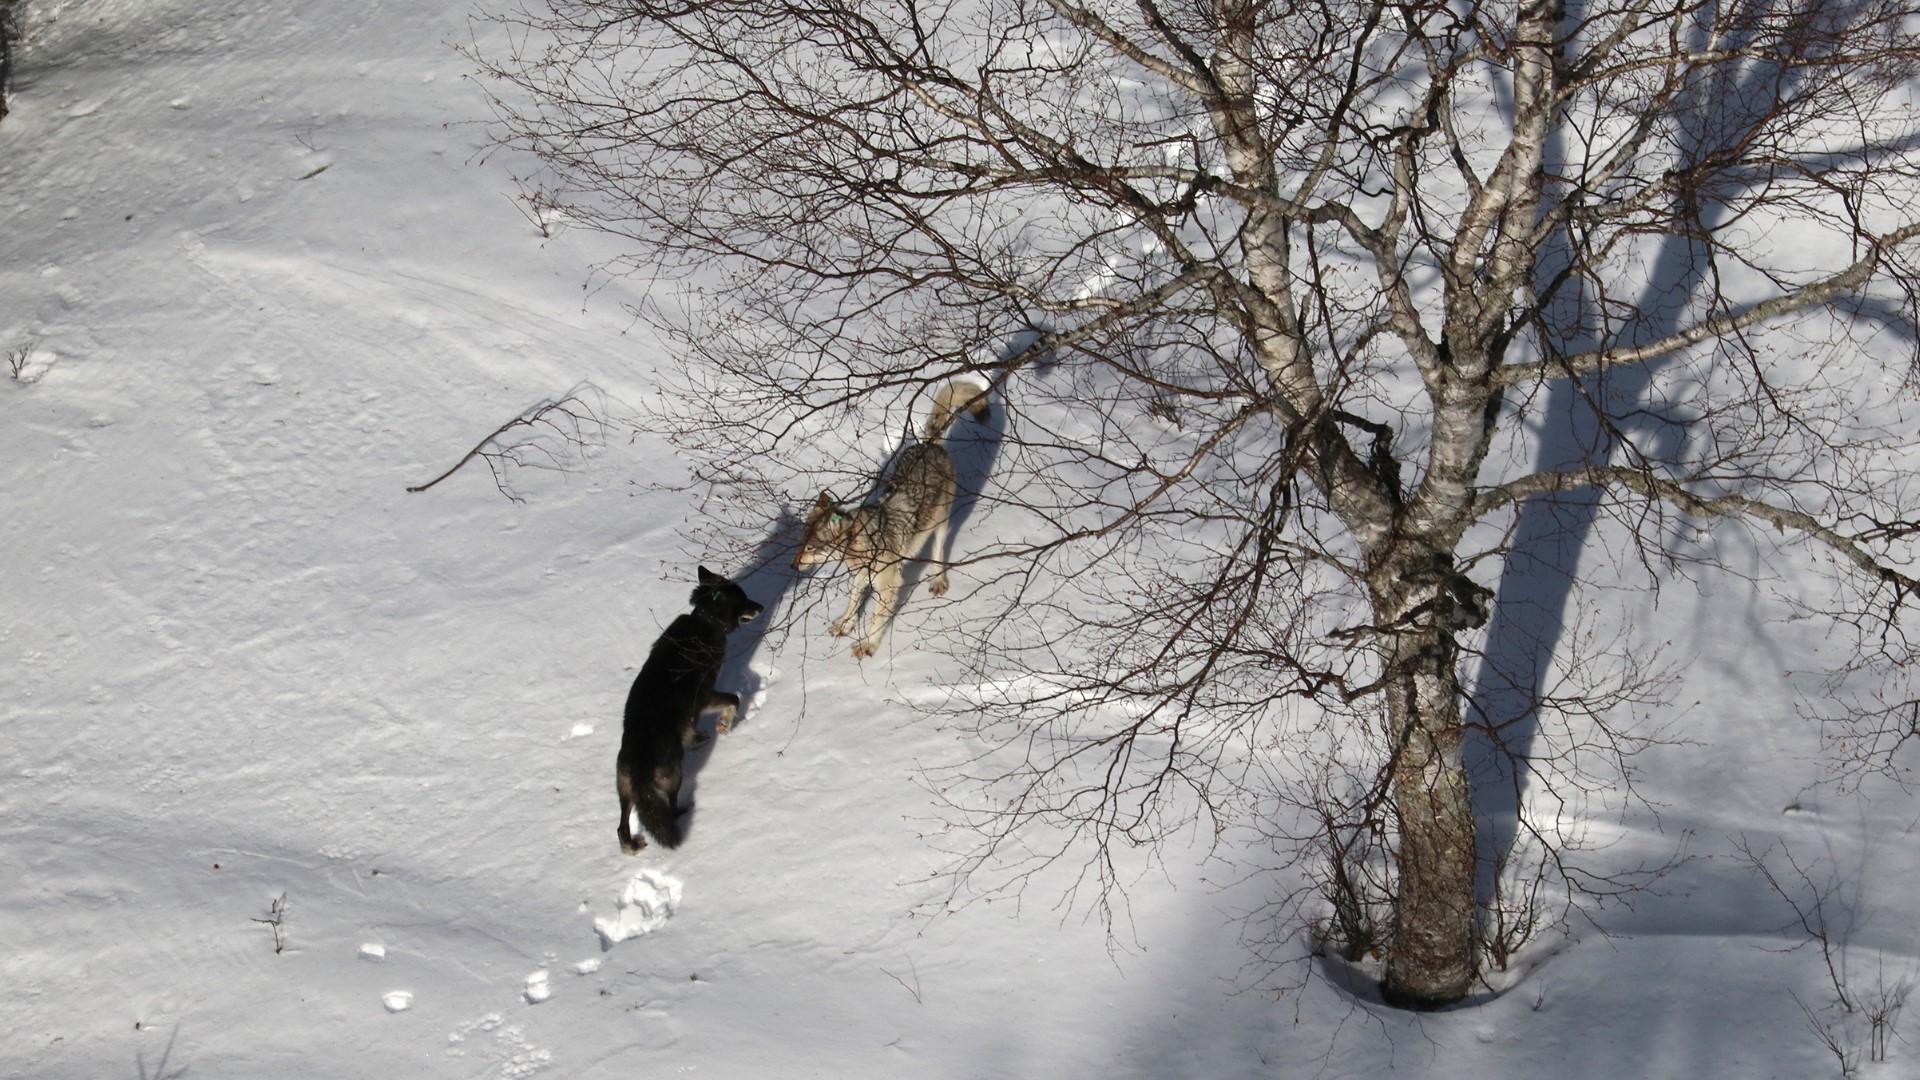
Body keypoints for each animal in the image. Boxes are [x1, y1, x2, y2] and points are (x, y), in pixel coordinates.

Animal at [616, 566, 763, 853]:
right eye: (745, 598)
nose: (761, 607)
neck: (705, 621)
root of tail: (639, 763)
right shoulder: (704, 697)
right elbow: (734, 699)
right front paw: (722, 725)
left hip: (625, 792)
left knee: (621, 827)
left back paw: (632, 847)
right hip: (674, 775)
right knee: (670, 808)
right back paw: (683, 812)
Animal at [792, 380, 990, 659]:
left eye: (810, 547)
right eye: (801, 544)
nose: (792, 566)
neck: (859, 542)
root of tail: (929, 444)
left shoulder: (888, 585)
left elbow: (876, 619)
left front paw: (868, 646)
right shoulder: (861, 576)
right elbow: (853, 601)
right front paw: (845, 625)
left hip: (940, 523)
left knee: (939, 552)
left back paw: (938, 580)